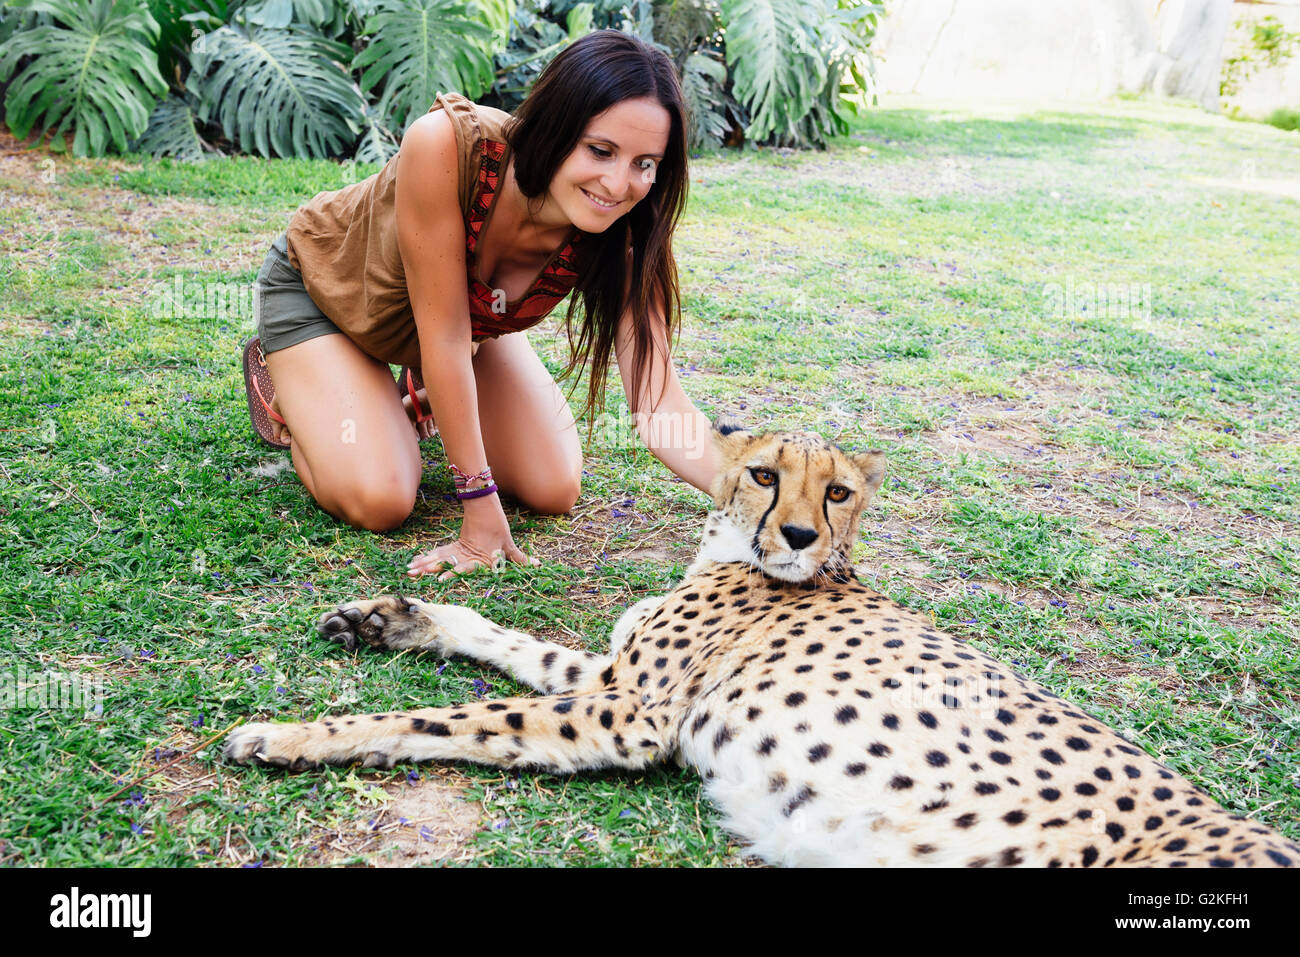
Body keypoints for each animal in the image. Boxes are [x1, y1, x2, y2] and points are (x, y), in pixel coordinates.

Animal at [224, 422, 1299, 868]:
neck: (734, 556)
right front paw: (388, 619)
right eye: (764, 473)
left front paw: (288, 735)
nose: (798, 535)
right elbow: (502, 637)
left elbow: (443, 717)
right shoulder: (618, 679)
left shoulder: (630, 715)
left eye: (838, 490)